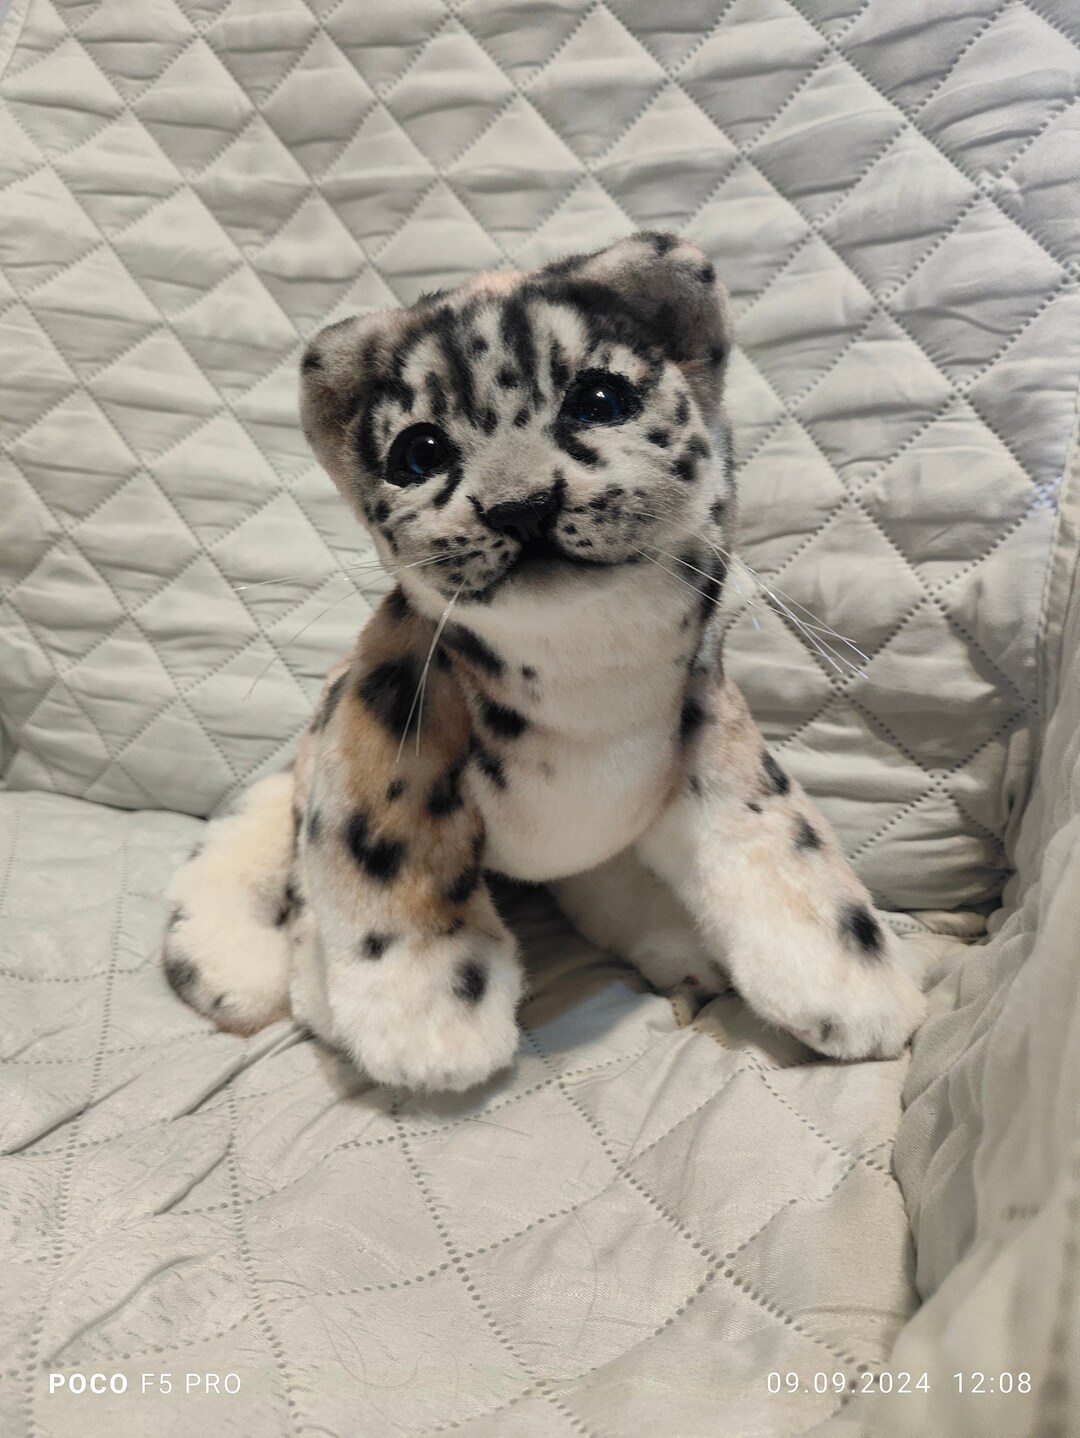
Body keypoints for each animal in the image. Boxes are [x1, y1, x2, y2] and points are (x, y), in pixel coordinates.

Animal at [163, 232, 927, 1093]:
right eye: (418, 451)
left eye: (599, 398)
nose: (520, 504)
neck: (589, 679)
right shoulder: (386, 720)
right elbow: (389, 866)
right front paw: (433, 1024)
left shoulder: (715, 739)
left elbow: (779, 844)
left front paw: (856, 991)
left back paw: (681, 949)